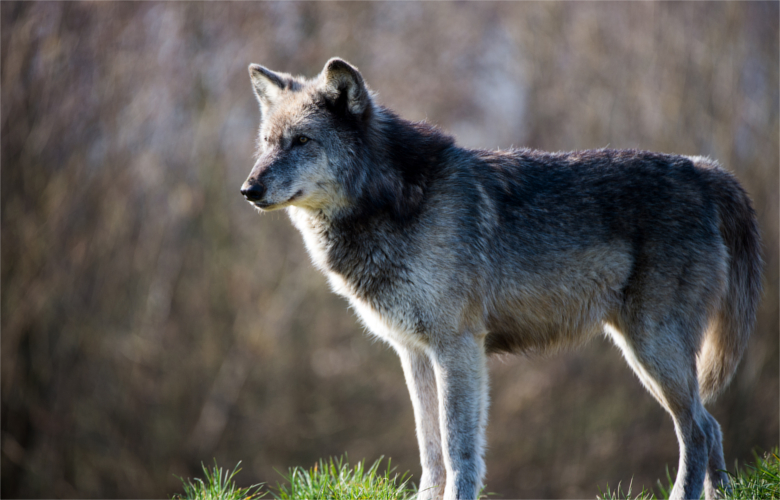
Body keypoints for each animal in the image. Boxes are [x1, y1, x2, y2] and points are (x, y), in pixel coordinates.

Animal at [240, 58, 762, 500]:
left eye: (302, 141)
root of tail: (703, 170)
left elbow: (458, 448)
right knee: (710, 425)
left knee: (696, 430)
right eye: (266, 142)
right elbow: (429, 447)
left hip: (651, 350)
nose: (248, 189)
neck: (394, 202)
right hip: (647, 355)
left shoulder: (457, 348)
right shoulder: (414, 353)